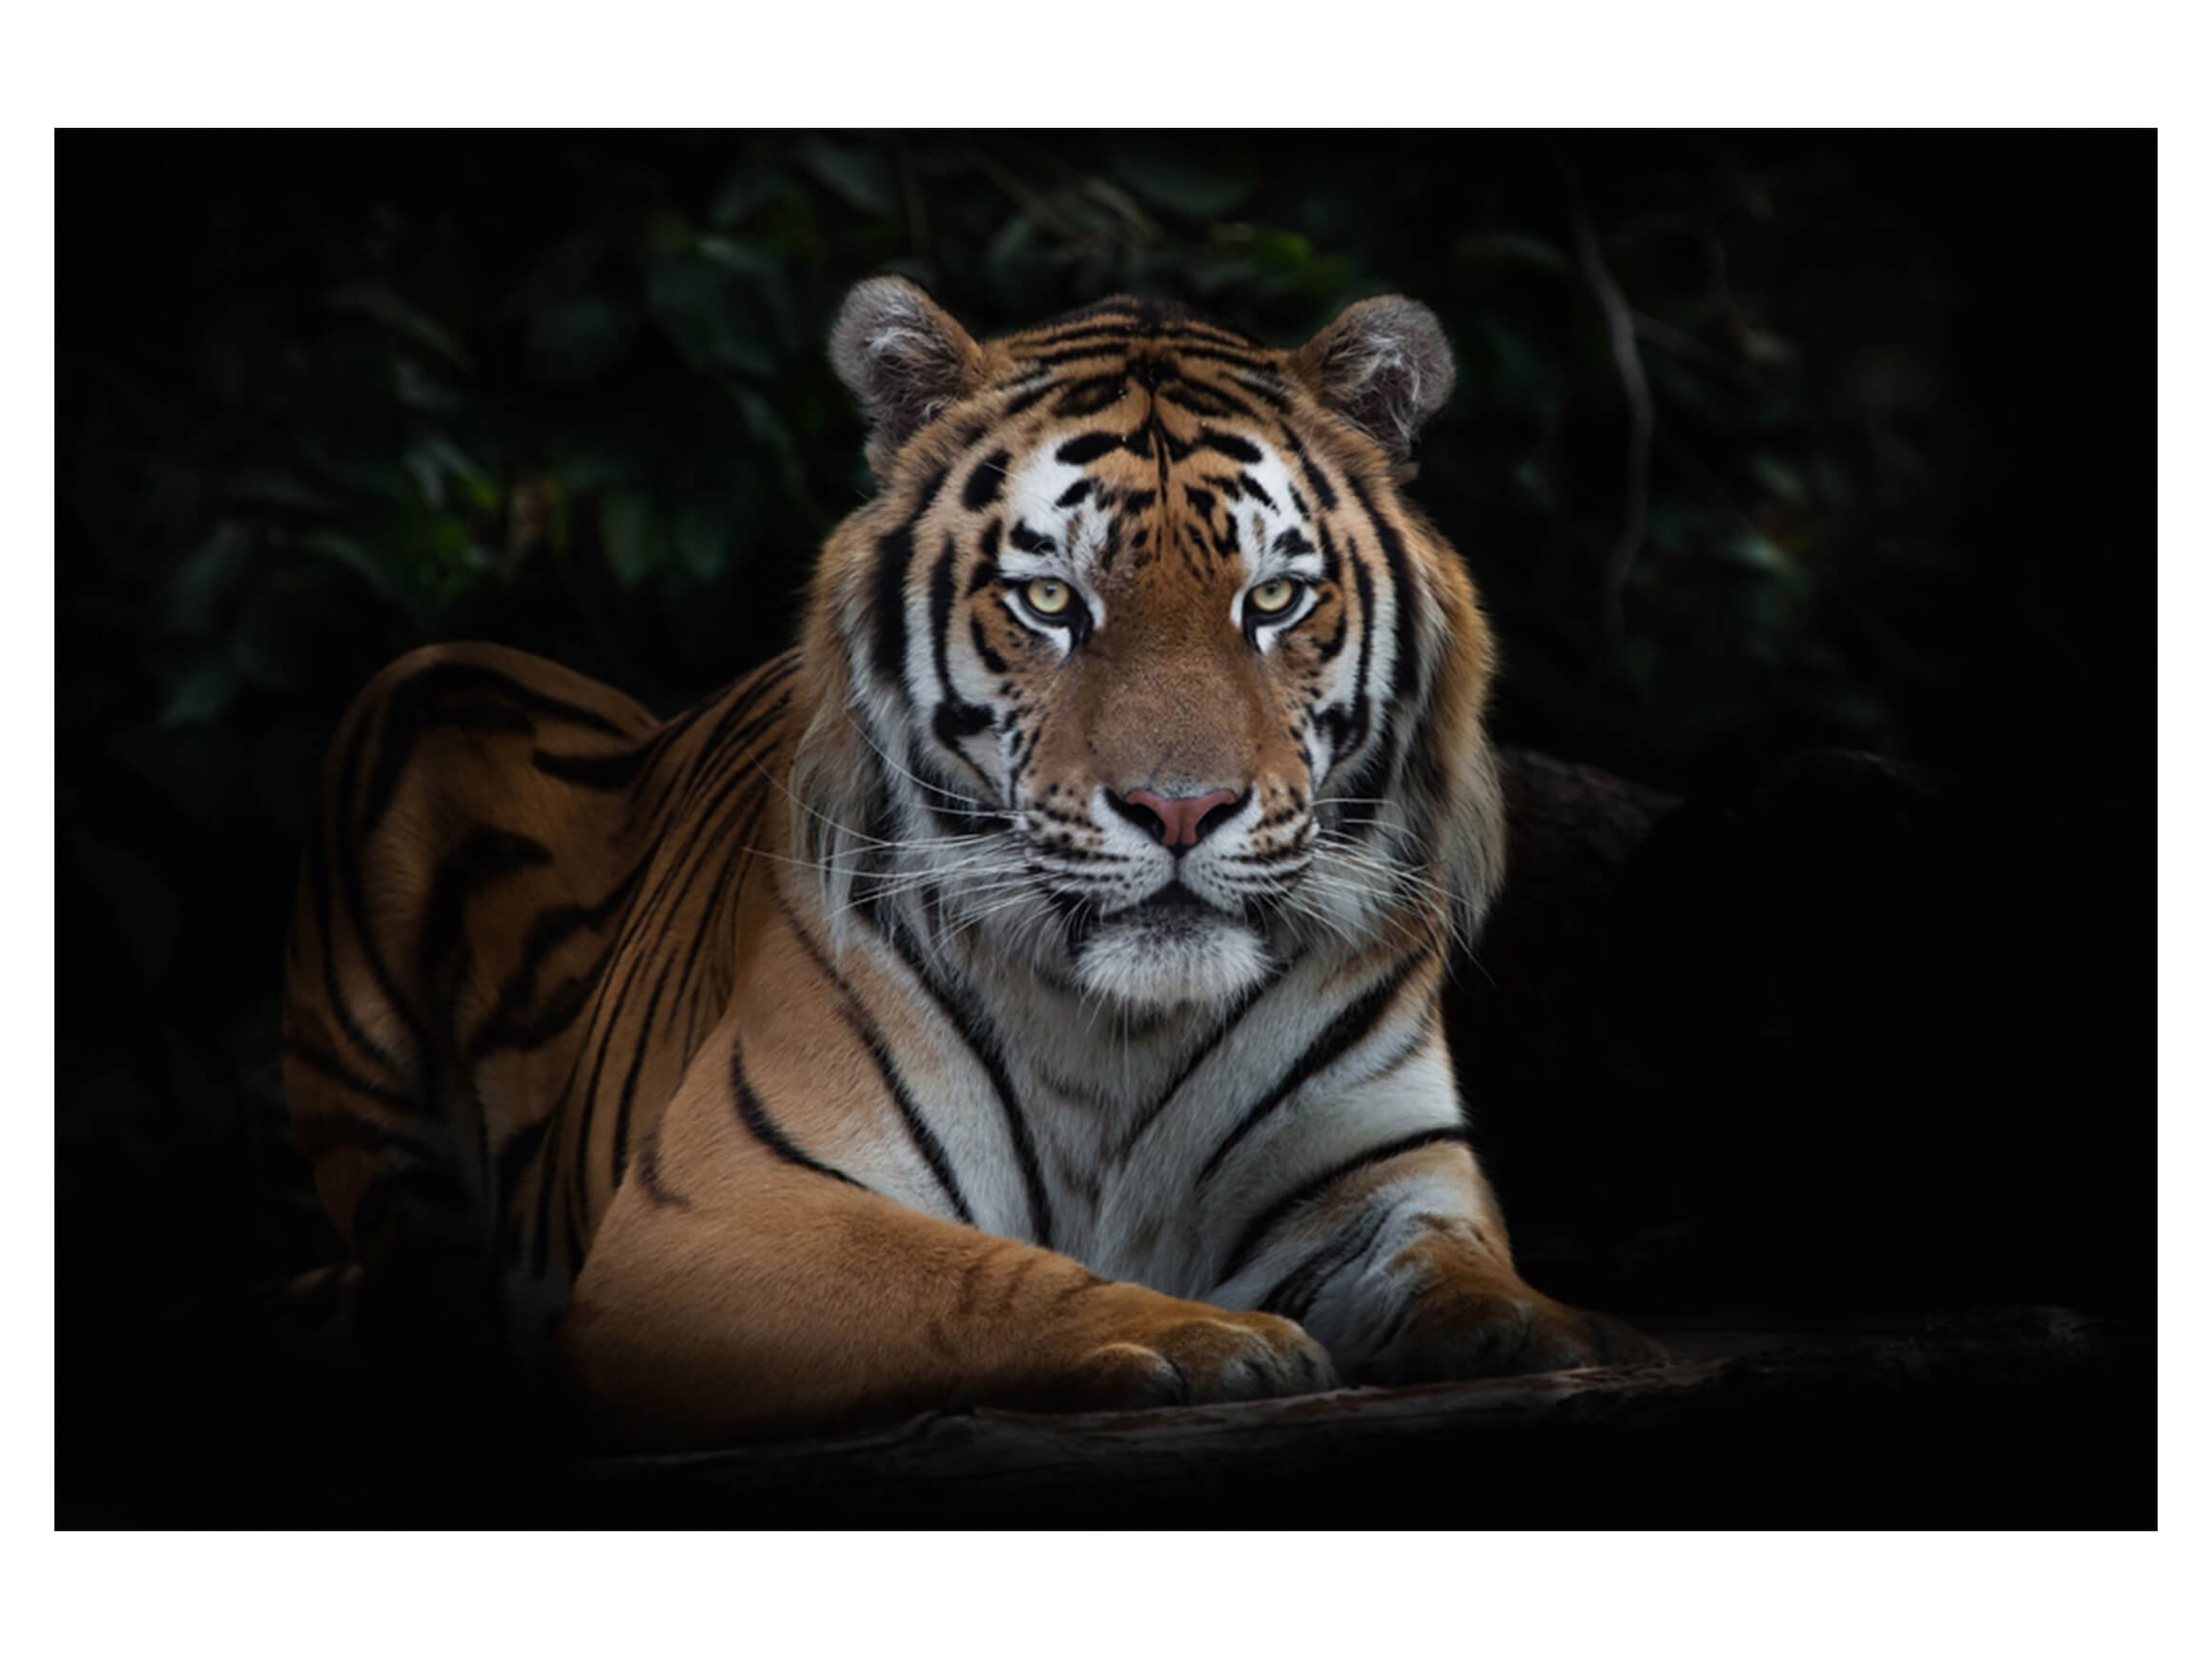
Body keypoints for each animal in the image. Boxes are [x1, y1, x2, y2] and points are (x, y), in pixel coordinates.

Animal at [283, 277, 1660, 1450]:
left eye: (1272, 602)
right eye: (1051, 604)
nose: (1180, 809)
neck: (1125, 1034)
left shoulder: (1384, 1181)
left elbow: (1468, 1276)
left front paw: (1565, 1333)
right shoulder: (720, 1208)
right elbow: (972, 1276)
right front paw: (1202, 1336)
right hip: (423, 689)